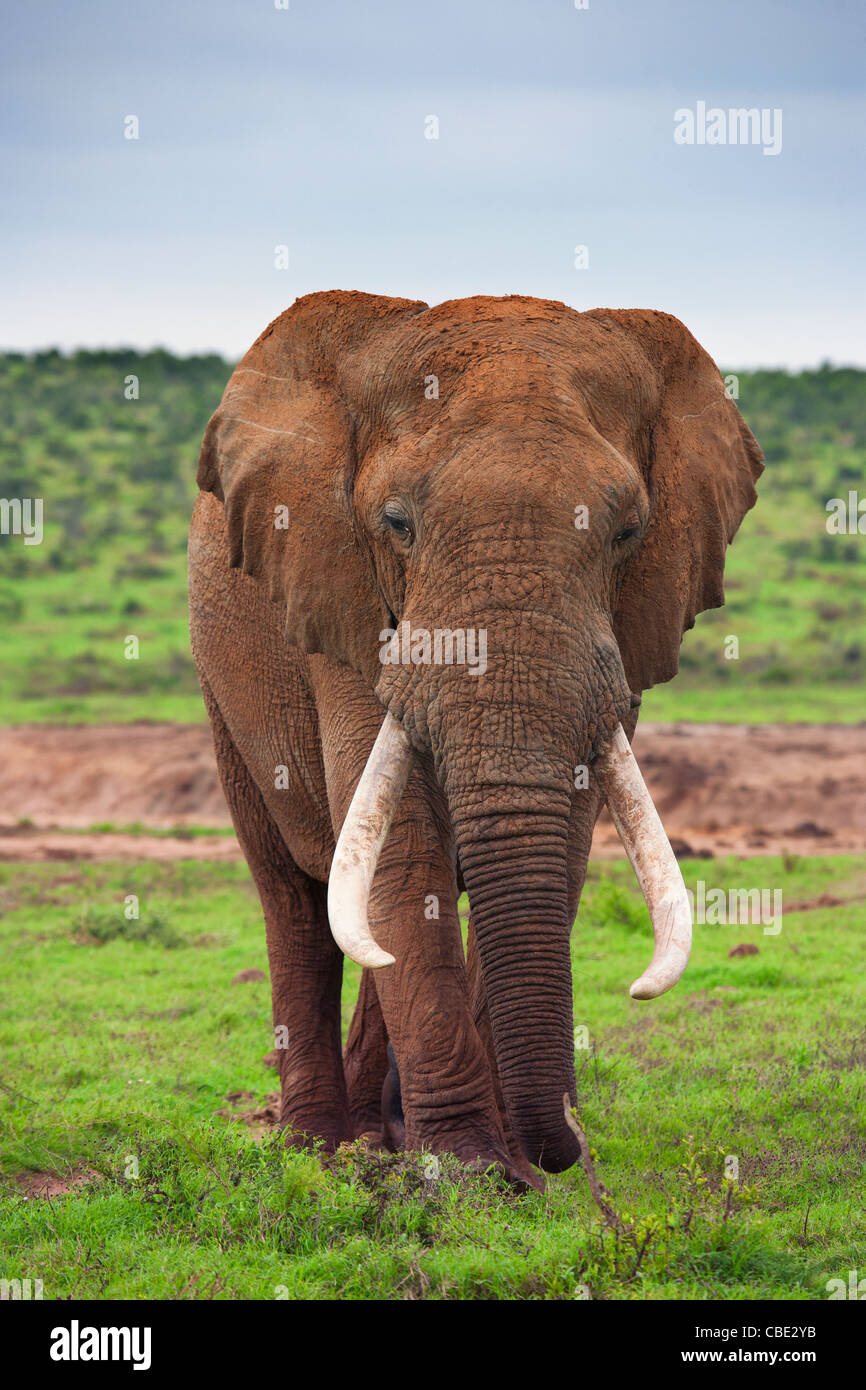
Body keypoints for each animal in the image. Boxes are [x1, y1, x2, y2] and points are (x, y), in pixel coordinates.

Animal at [188, 291, 762, 1187]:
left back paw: (377, 1136)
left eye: (629, 532)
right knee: (296, 898)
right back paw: (316, 1148)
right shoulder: (342, 597)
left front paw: (491, 1164)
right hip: (224, 685)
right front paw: (471, 1171)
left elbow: (559, 839)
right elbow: (399, 842)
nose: (566, 1149)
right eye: (396, 523)